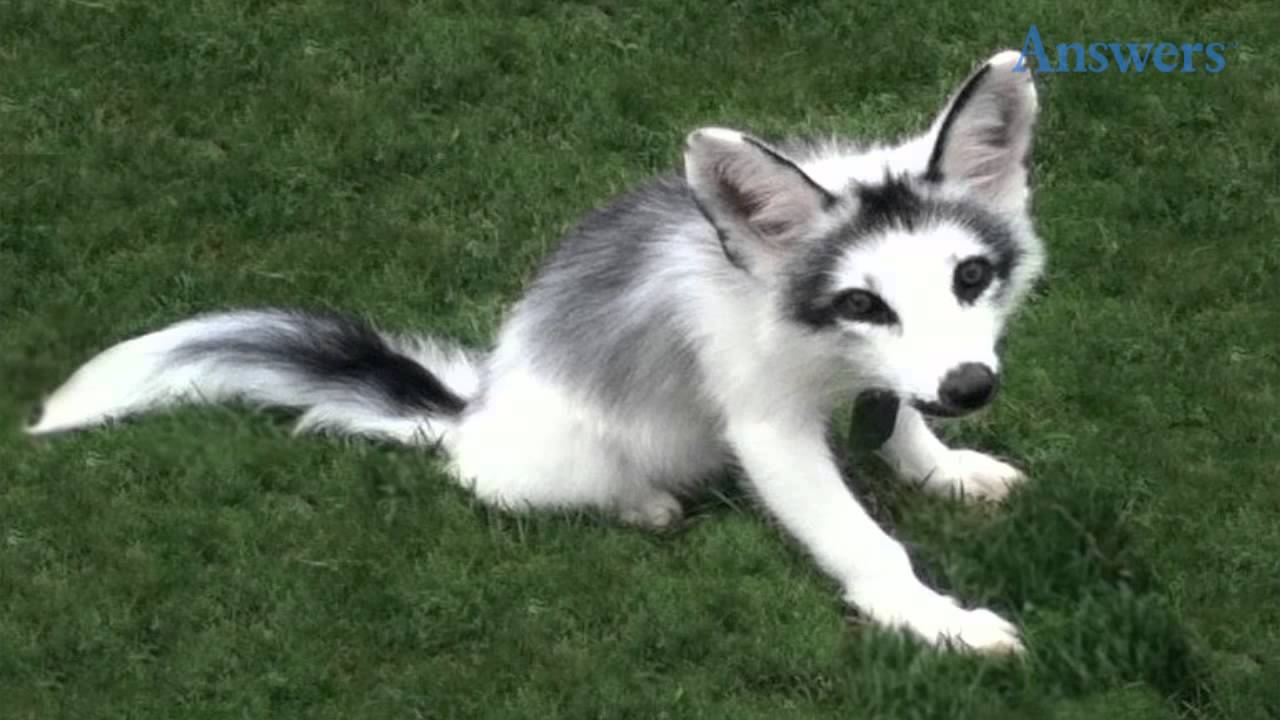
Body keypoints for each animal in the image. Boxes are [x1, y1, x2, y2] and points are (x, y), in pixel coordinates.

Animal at [28, 50, 1043, 653]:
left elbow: (900, 422)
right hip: (553, 458)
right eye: (862, 302)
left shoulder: (890, 381)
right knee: (510, 486)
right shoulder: (766, 426)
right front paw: (931, 619)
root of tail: (470, 409)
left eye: (970, 277)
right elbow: (860, 540)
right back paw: (637, 503)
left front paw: (944, 467)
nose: (971, 388)